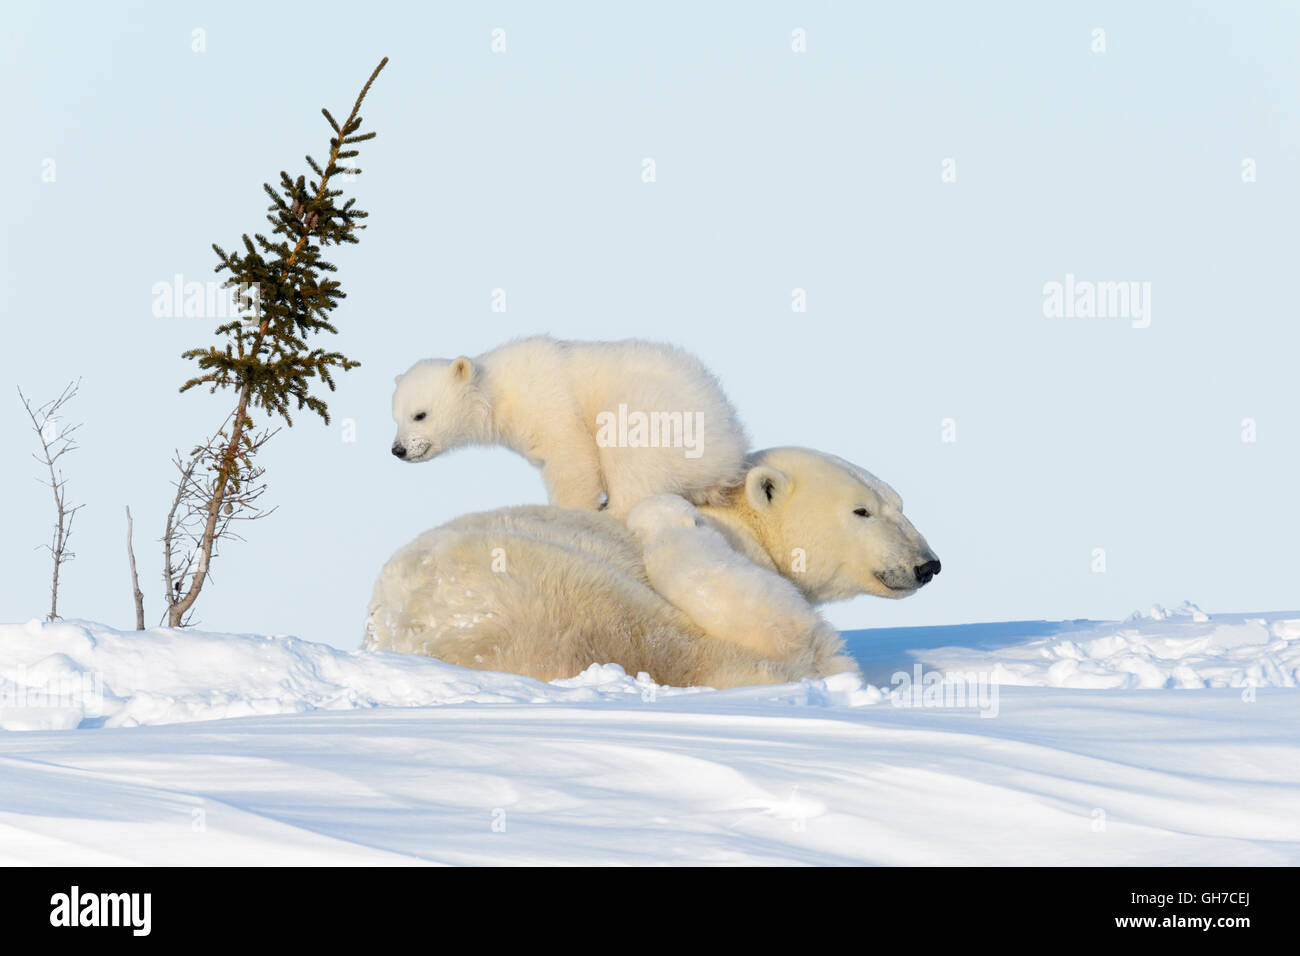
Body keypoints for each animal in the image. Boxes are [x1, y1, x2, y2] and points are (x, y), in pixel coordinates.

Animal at [389, 336, 749, 519]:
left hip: (659, 415)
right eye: (395, 416)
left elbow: (572, 457)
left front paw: (572, 508)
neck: (500, 389)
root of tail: (727, 456)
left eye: (420, 414)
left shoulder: (548, 403)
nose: (398, 450)